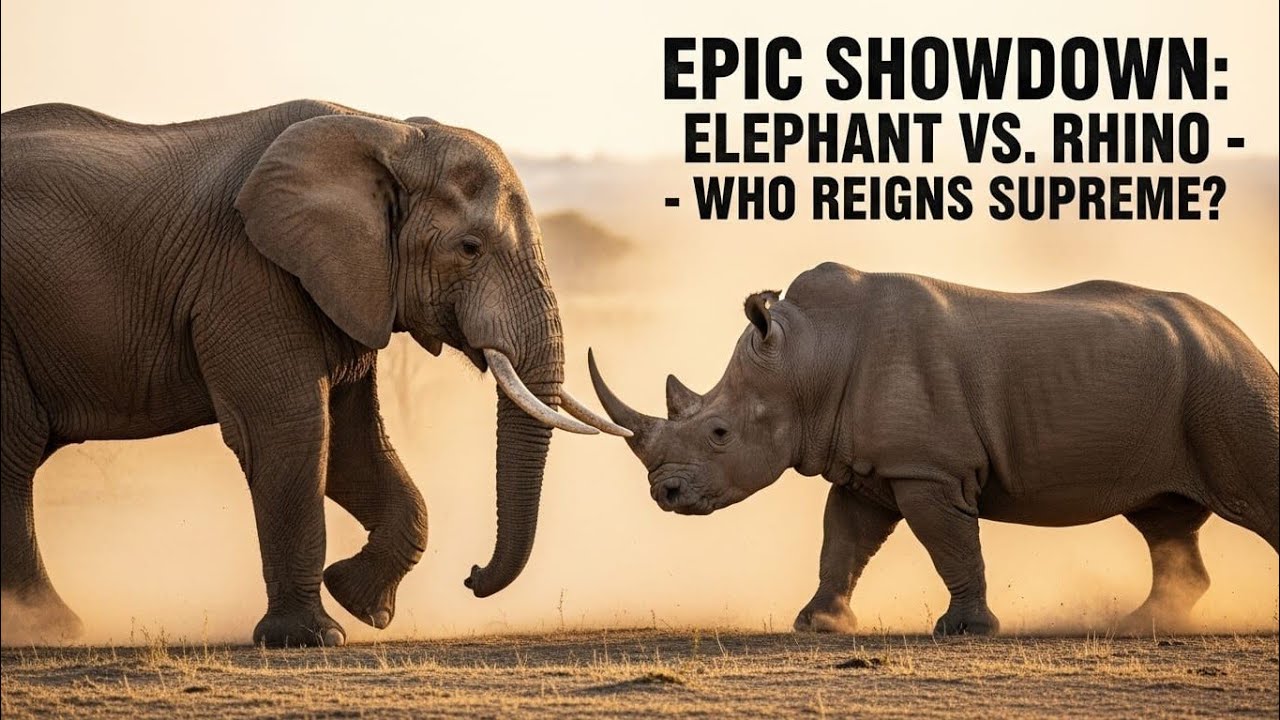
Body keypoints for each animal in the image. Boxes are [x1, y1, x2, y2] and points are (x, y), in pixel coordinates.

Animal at [0, 100, 629, 647]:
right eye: (470, 247)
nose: (472, 576)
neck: (388, 131)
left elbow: (352, 446)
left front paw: (361, 602)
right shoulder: (249, 273)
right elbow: (292, 431)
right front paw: (312, 637)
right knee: (16, 448)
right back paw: (50, 629)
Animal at [589, 262, 1279, 636]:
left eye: (719, 433)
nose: (664, 492)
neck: (809, 357)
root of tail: (1237, 334)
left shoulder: (927, 468)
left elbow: (949, 544)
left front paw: (964, 631)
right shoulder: (869, 468)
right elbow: (841, 541)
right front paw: (818, 623)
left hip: (1225, 383)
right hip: (1190, 386)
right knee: (1162, 518)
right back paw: (1139, 625)